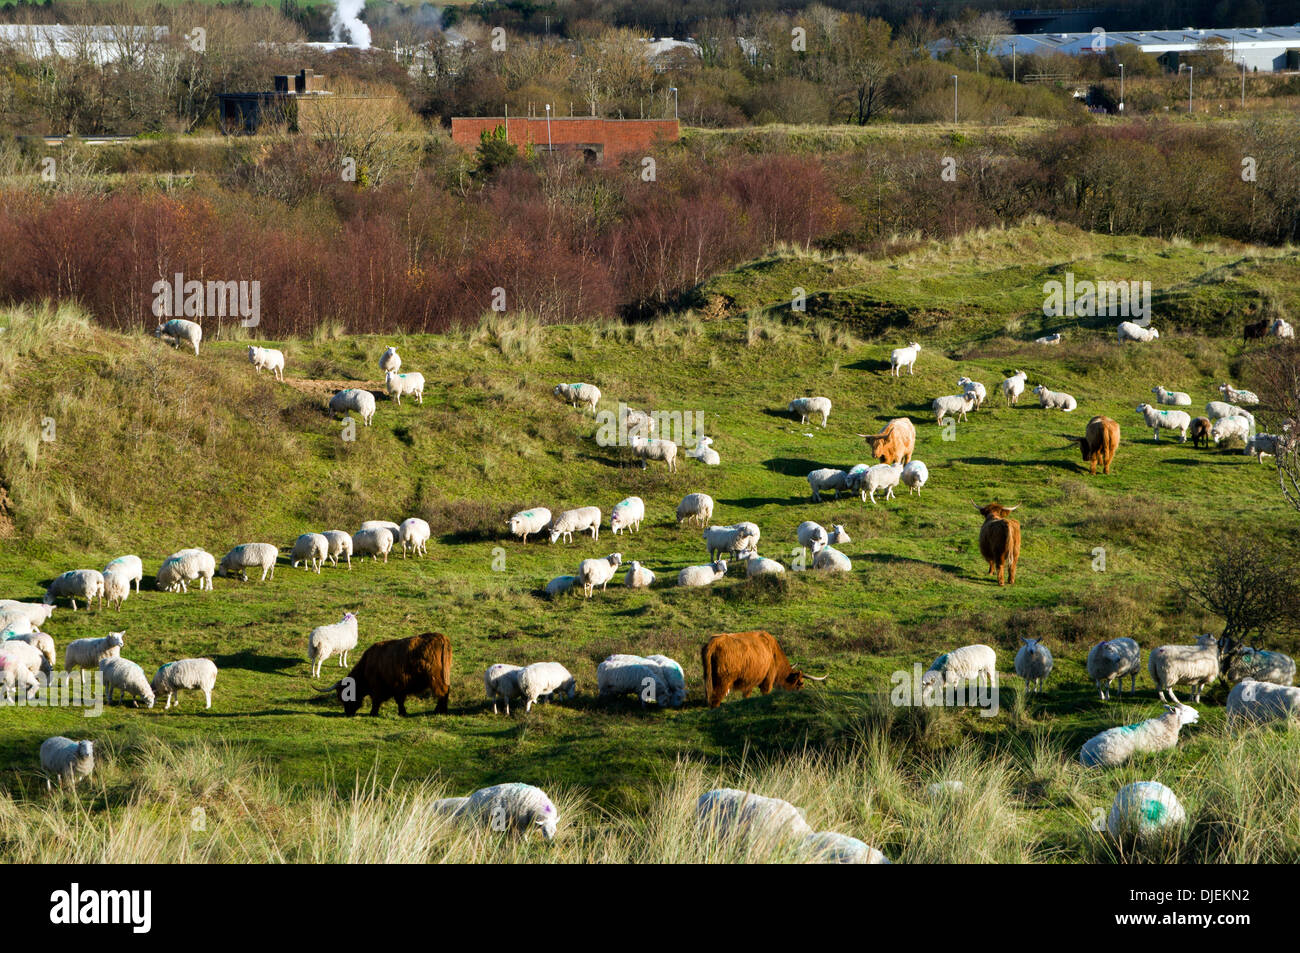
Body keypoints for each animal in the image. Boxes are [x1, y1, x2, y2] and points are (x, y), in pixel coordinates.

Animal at [322, 631, 451, 717]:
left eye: (346, 695)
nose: (348, 713)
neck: (366, 665)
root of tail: (441, 638)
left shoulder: (379, 687)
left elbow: (376, 700)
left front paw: (373, 713)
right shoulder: (398, 687)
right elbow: (399, 700)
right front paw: (402, 712)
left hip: (436, 677)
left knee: (442, 692)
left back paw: (439, 711)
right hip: (444, 675)